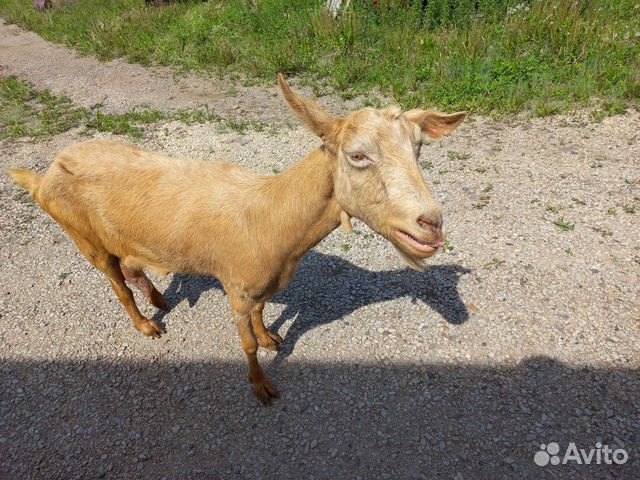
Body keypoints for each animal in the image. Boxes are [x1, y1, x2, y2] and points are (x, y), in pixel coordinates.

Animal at [9, 75, 465, 404]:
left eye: (419, 148)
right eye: (357, 155)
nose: (431, 223)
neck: (273, 217)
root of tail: (43, 175)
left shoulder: (262, 281)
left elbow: (264, 312)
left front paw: (270, 337)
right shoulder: (236, 286)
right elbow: (245, 343)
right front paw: (261, 385)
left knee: (132, 268)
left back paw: (158, 299)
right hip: (82, 235)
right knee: (117, 284)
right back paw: (146, 325)